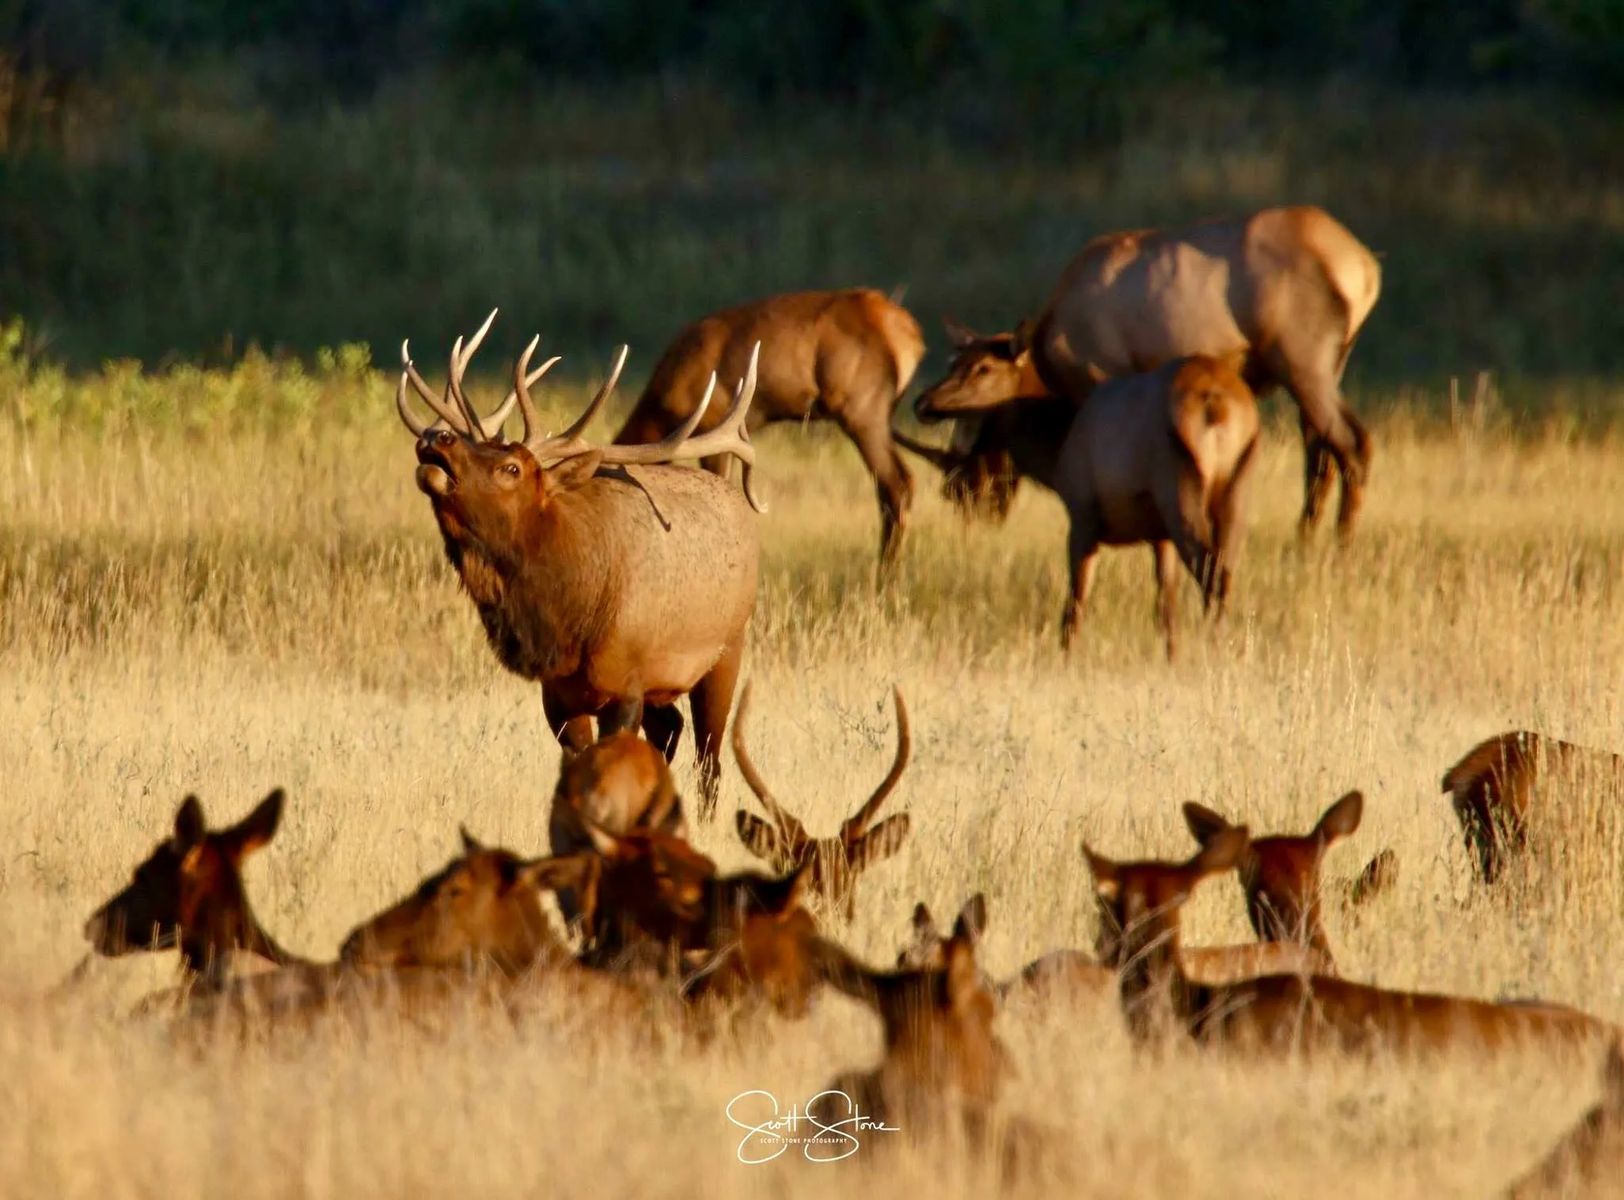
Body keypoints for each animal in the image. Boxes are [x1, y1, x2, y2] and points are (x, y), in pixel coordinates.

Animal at [395, 310, 765, 814]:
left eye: (512, 468)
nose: (439, 436)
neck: (569, 622)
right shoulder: (559, 695)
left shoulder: (626, 683)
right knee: (670, 732)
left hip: (725, 650)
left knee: (709, 757)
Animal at [912, 343, 1259, 659]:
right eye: (955, 362)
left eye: (983, 367)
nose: (923, 401)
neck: (1055, 451)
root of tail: (1217, 404)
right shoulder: (1159, 535)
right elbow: (1165, 607)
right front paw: (1171, 659)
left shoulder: (1083, 513)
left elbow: (1075, 603)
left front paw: (1066, 660)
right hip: (1237, 489)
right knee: (1225, 573)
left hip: (1177, 486)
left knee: (1211, 573)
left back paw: (1214, 648)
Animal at [1007, 206, 1379, 539]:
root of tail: (1366, 270)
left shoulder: (1102, 379)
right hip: (1329, 366)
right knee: (1321, 454)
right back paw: (1305, 538)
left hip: (1303, 363)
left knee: (1352, 444)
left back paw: (1342, 542)